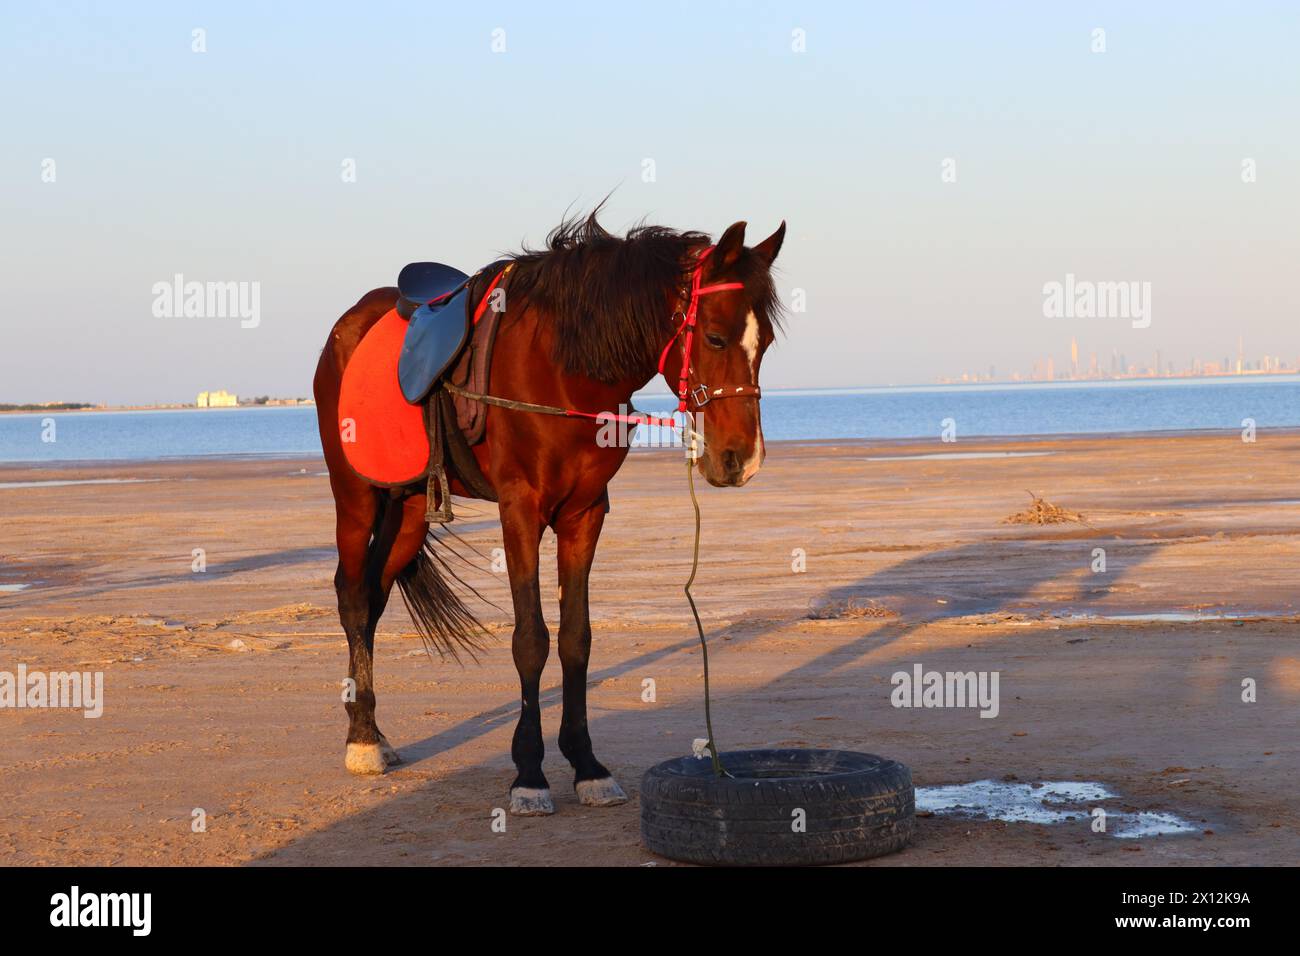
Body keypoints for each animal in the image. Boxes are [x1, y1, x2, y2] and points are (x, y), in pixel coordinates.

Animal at [313, 212, 786, 815]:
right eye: (715, 336)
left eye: (765, 342)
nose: (741, 459)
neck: (564, 368)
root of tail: (351, 322)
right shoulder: (521, 510)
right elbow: (531, 640)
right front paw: (529, 772)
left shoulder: (585, 512)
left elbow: (576, 639)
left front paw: (586, 765)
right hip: (355, 498)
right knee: (352, 599)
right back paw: (363, 741)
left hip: (410, 508)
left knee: (374, 599)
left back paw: (375, 730)